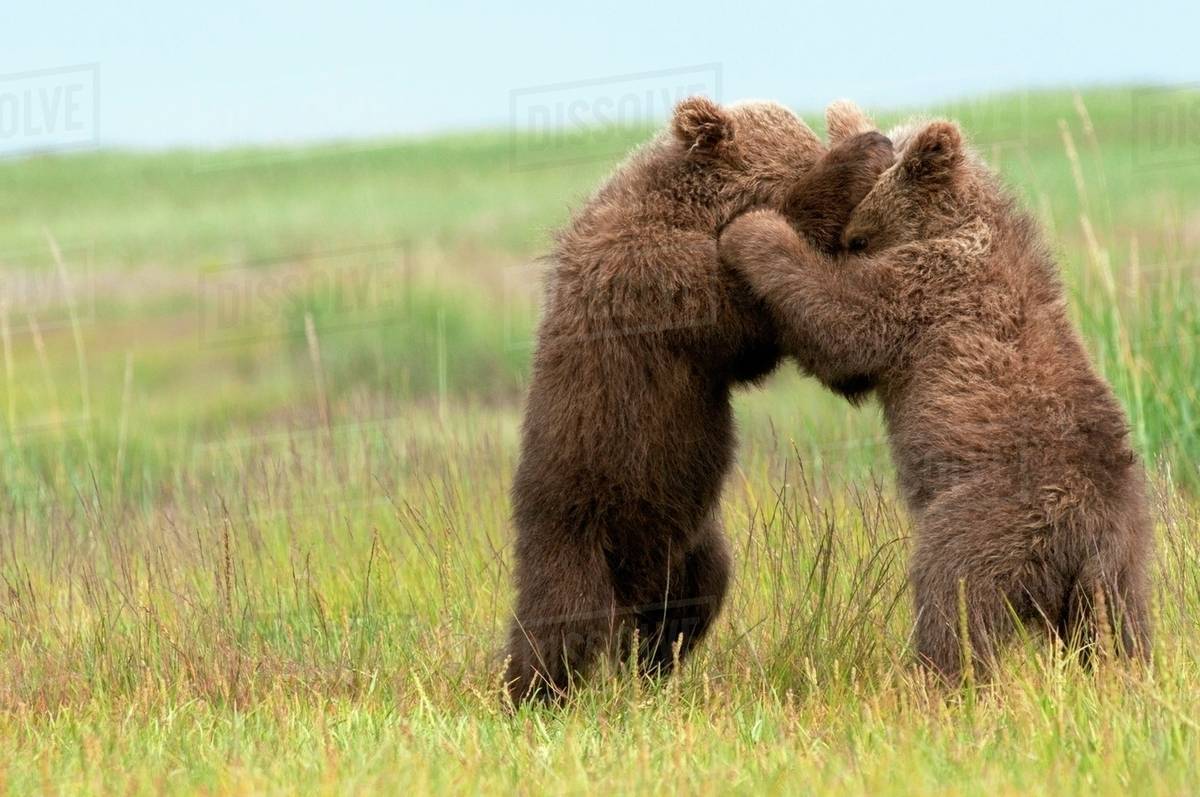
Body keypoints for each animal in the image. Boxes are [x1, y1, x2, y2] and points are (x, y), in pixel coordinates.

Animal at [504, 96, 895, 703]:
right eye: (803, 155)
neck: (687, 208)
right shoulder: (652, 272)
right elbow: (733, 309)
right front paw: (861, 154)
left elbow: (748, 349)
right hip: (577, 517)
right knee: (563, 620)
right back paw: (533, 693)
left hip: (690, 539)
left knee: (693, 601)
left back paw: (655, 668)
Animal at [718, 115, 1154, 684]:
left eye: (858, 235)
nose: (843, 243)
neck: (955, 222)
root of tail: (1087, 527)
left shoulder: (931, 289)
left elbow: (845, 321)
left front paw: (751, 229)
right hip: (1120, 560)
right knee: (1118, 628)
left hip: (989, 516)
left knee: (952, 595)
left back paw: (938, 679)